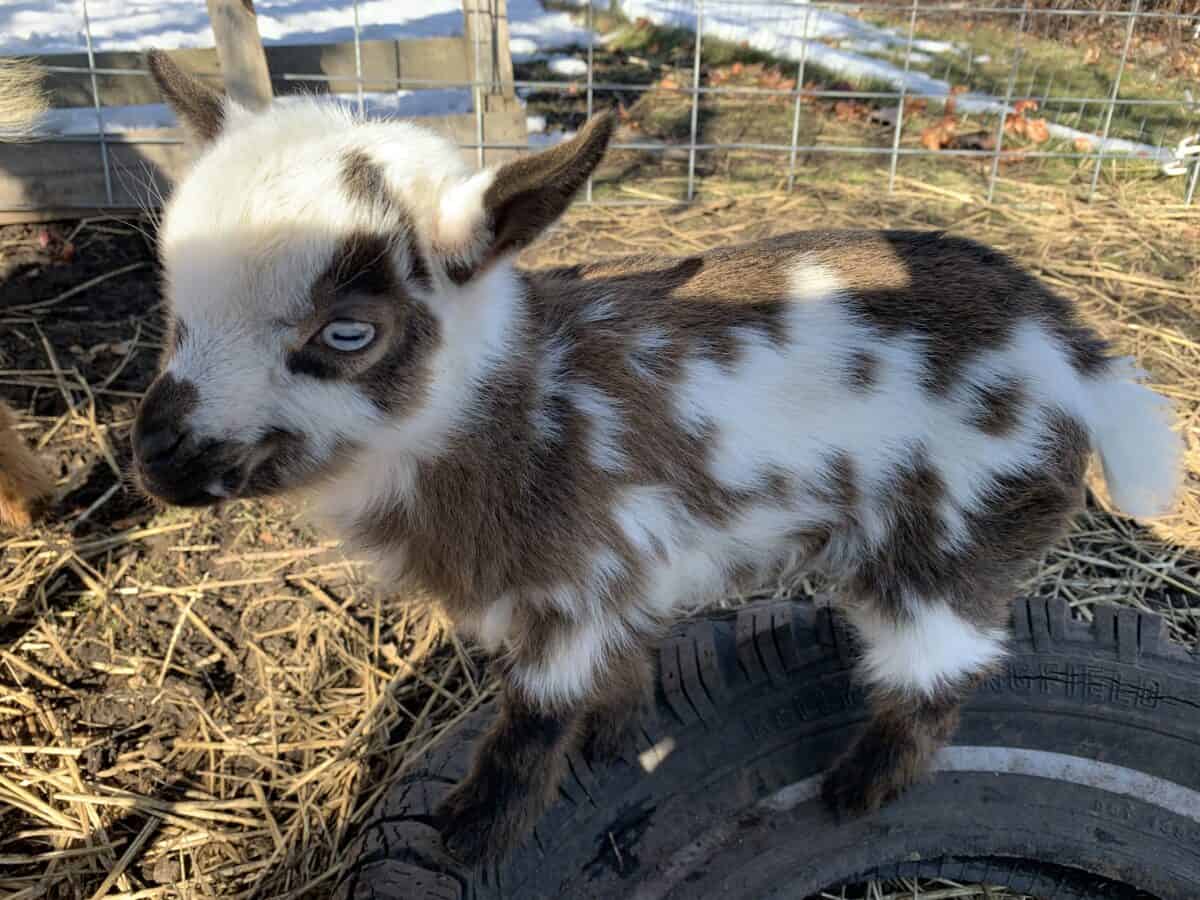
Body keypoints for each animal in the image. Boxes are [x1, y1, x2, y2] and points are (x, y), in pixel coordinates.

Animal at [133, 51, 1183, 865]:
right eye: (174, 300)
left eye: (348, 333)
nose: (156, 459)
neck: (525, 407)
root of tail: (1074, 350)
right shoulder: (627, 570)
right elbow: (623, 666)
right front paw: (619, 741)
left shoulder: (574, 579)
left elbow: (531, 724)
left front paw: (473, 833)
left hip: (953, 543)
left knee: (943, 671)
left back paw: (857, 790)